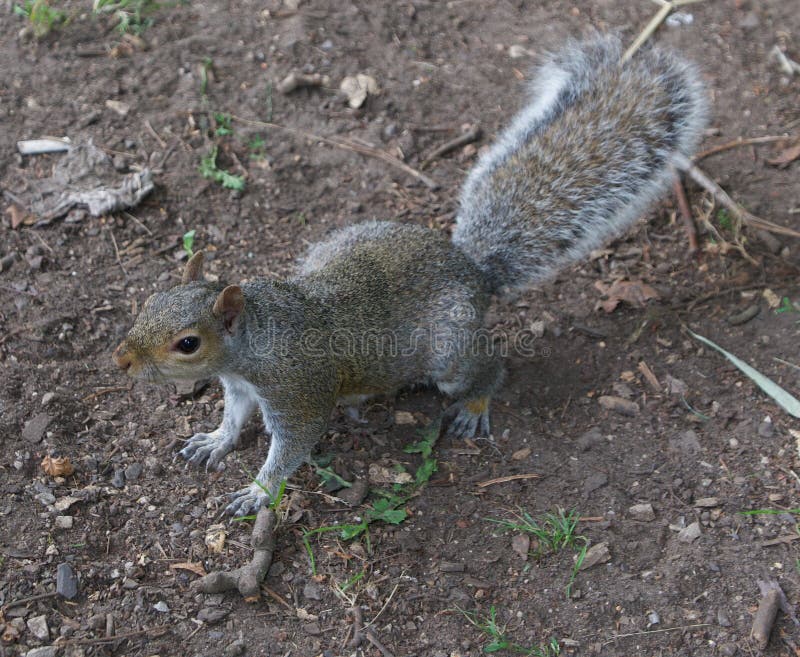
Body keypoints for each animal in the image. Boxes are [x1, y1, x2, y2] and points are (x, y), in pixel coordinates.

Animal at [113, 36, 707, 515]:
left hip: (450, 354)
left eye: (187, 343)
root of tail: (473, 270)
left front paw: (258, 492)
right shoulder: (239, 387)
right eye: (150, 301)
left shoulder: (298, 391)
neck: (253, 343)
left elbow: (292, 447)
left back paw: (473, 406)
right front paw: (215, 441)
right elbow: (235, 418)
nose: (121, 361)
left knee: (488, 367)